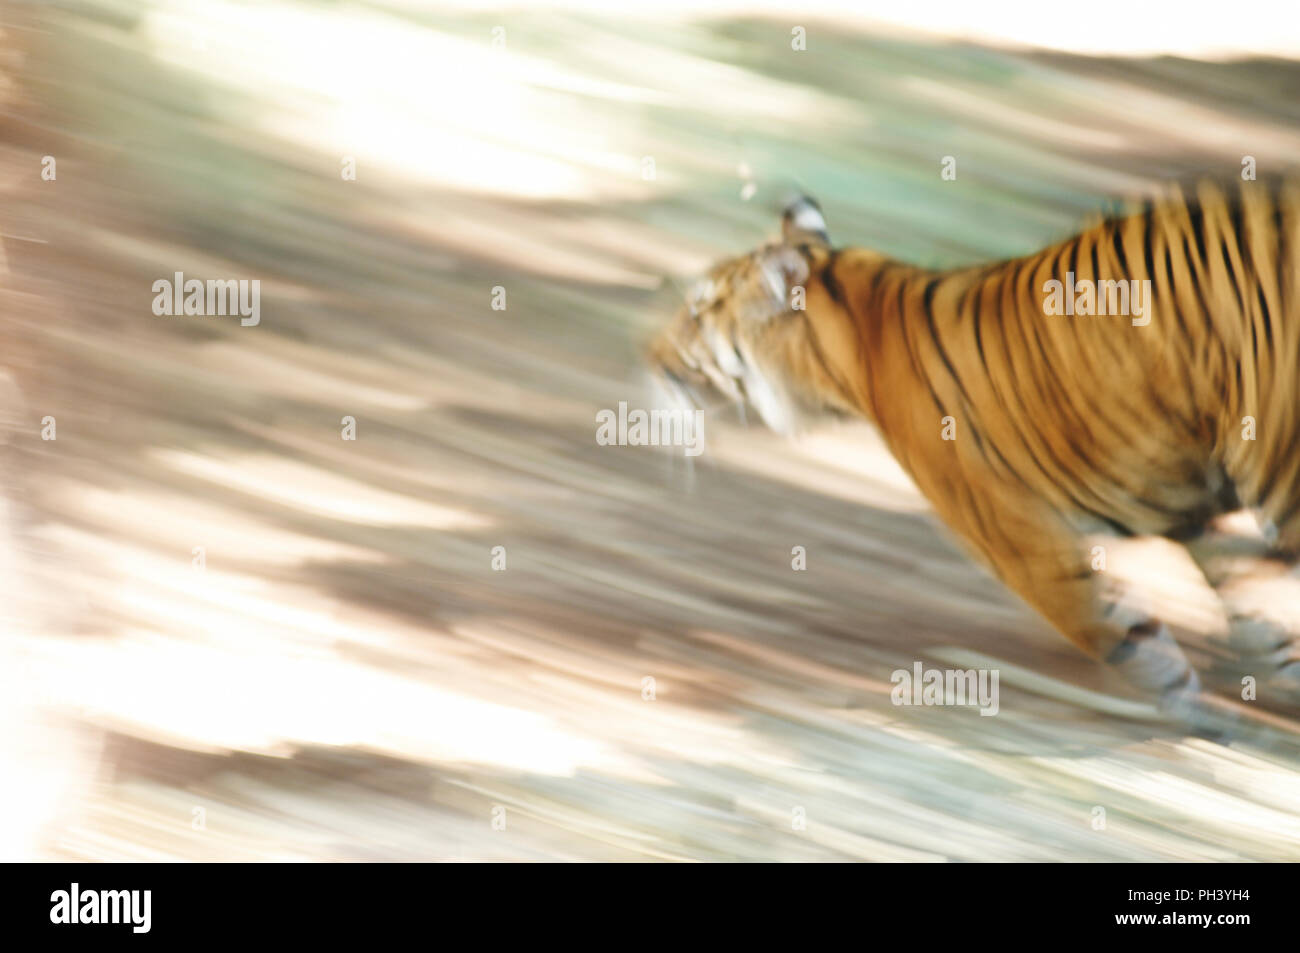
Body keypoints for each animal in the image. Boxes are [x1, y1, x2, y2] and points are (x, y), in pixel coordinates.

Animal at [646, 181, 1300, 722]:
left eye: (698, 312)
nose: (649, 353)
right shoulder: (1196, 509)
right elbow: (1252, 609)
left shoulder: (1016, 536)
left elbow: (1117, 629)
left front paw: (1196, 711)